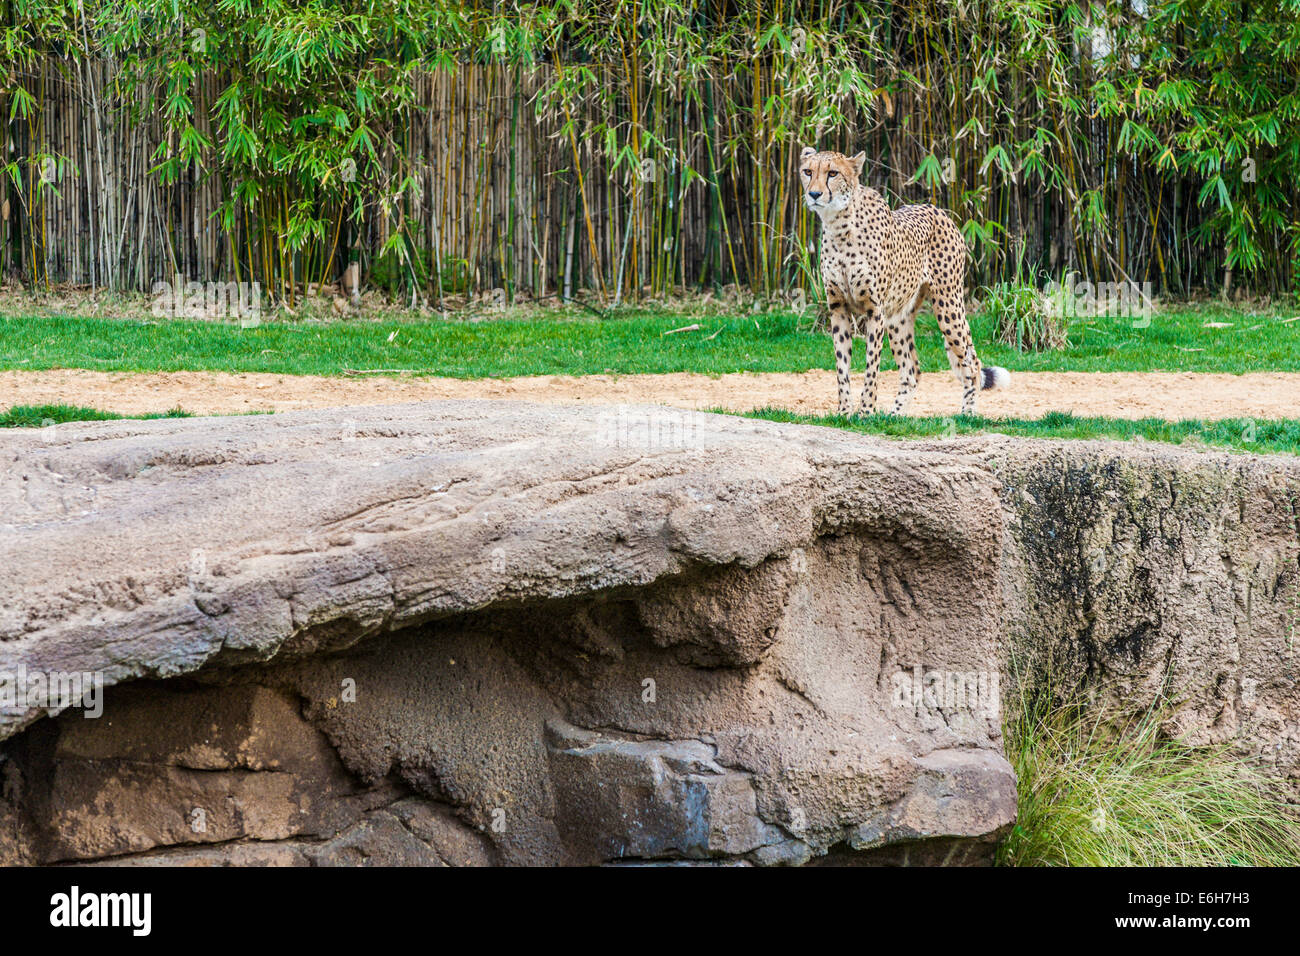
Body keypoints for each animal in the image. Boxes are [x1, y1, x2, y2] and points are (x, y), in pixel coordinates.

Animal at [800, 146, 1010, 416]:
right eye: (808, 171)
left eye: (833, 173)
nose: (814, 194)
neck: (839, 225)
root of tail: (938, 210)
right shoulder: (838, 308)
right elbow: (842, 366)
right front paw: (845, 411)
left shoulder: (874, 310)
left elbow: (871, 366)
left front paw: (866, 412)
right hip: (898, 316)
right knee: (912, 370)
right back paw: (896, 414)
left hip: (948, 305)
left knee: (971, 362)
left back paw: (968, 413)